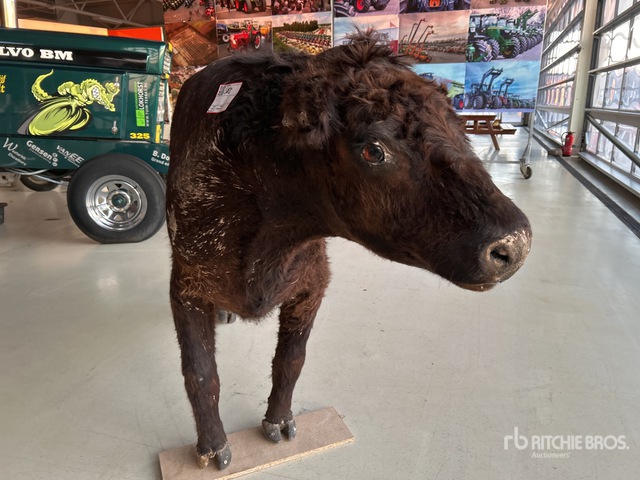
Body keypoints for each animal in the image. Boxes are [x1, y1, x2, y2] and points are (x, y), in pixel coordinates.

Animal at [166, 30, 532, 470]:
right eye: (373, 150)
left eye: (457, 123)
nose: (515, 244)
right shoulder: (185, 289)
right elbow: (201, 373)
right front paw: (213, 447)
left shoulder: (312, 286)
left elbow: (291, 360)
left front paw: (279, 422)